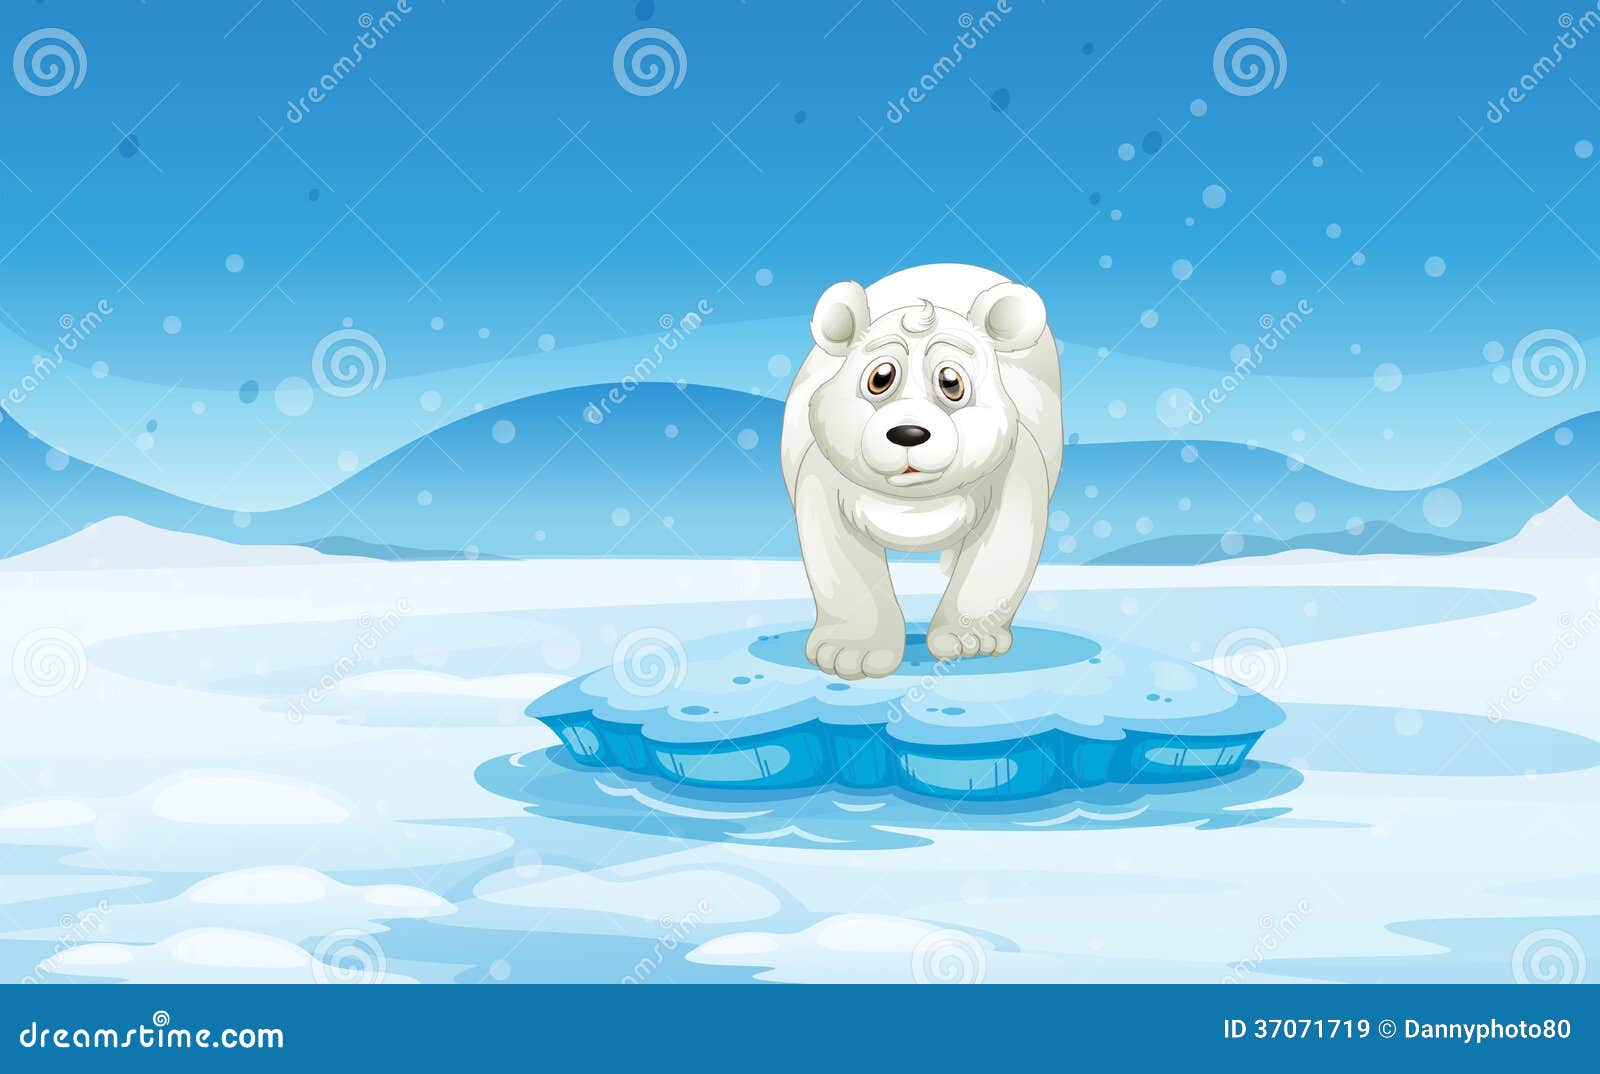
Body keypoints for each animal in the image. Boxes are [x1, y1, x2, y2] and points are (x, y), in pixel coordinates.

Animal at [780, 263, 1062, 679]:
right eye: (880, 378)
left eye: (951, 382)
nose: (908, 433)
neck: (915, 500)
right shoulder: (822, 476)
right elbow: (843, 564)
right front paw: (851, 651)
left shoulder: (1015, 471)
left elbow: (998, 554)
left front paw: (968, 639)